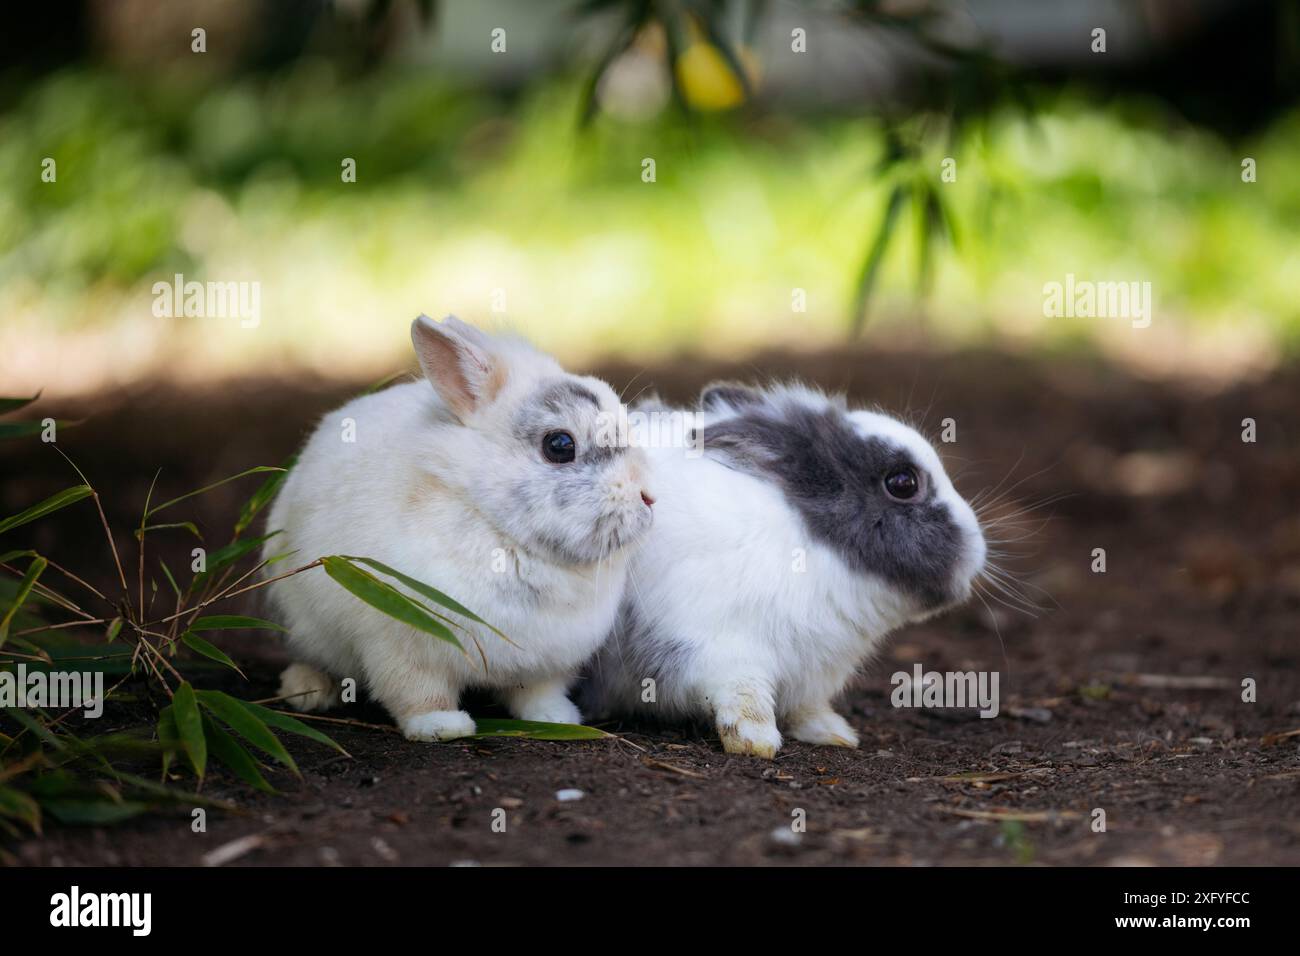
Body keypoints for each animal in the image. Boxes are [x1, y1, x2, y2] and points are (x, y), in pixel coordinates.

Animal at [263, 315, 655, 741]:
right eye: (560, 445)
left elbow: (539, 693)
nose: (648, 496)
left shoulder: (546, 663)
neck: (503, 533)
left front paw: (556, 719)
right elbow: (417, 692)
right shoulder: (402, 642)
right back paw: (307, 691)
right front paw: (441, 727)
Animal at [581, 381, 986, 758]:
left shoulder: (810, 671)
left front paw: (834, 732)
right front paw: (755, 742)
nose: (977, 548)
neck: (808, 541)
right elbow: (745, 696)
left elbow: (805, 707)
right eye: (902, 483)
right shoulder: (719, 649)